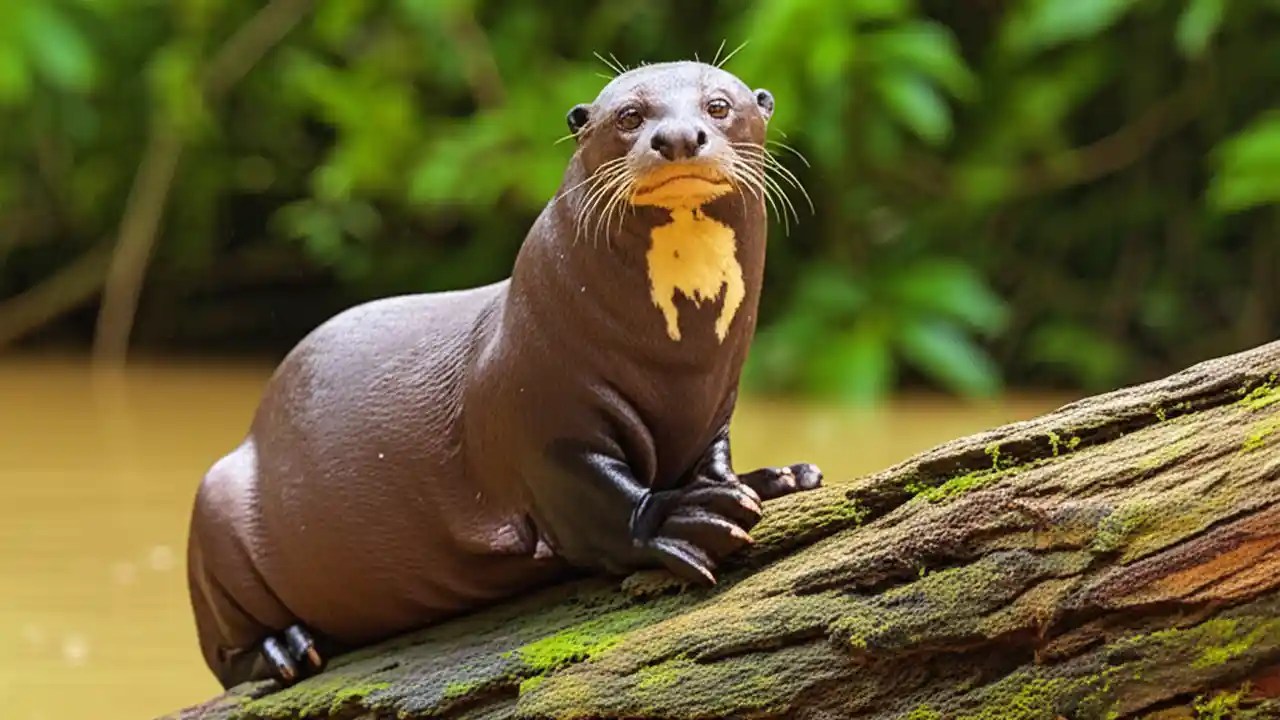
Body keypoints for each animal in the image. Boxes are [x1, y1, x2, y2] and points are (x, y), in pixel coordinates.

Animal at [186, 60, 822, 689]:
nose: (679, 138)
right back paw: (286, 646)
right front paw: (687, 517)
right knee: (226, 653)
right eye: (629, 115)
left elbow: (715, 456)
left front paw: (773, 477)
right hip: (215, 510)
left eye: (719, 105)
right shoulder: (545, 415)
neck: (681, 367)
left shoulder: (716, 403)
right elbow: (598, 501)